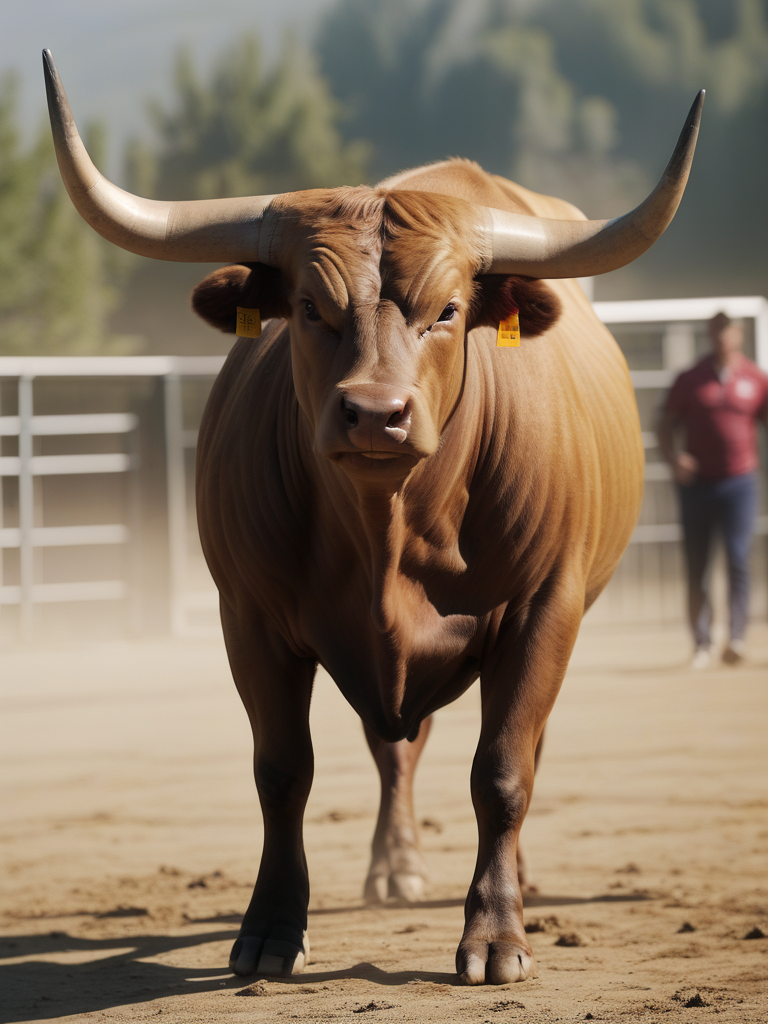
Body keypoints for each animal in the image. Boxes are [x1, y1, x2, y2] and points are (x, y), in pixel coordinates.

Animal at [43, 49, 703, 986]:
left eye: (449, 310)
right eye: (310, 309)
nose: (375, 414)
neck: (390, 529)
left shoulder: (545, 607)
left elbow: (504, 770)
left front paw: (495, 935)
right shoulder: (248, 618)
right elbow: (283, 770)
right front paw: (269, 930)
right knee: (396, 749)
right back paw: (395, 868)